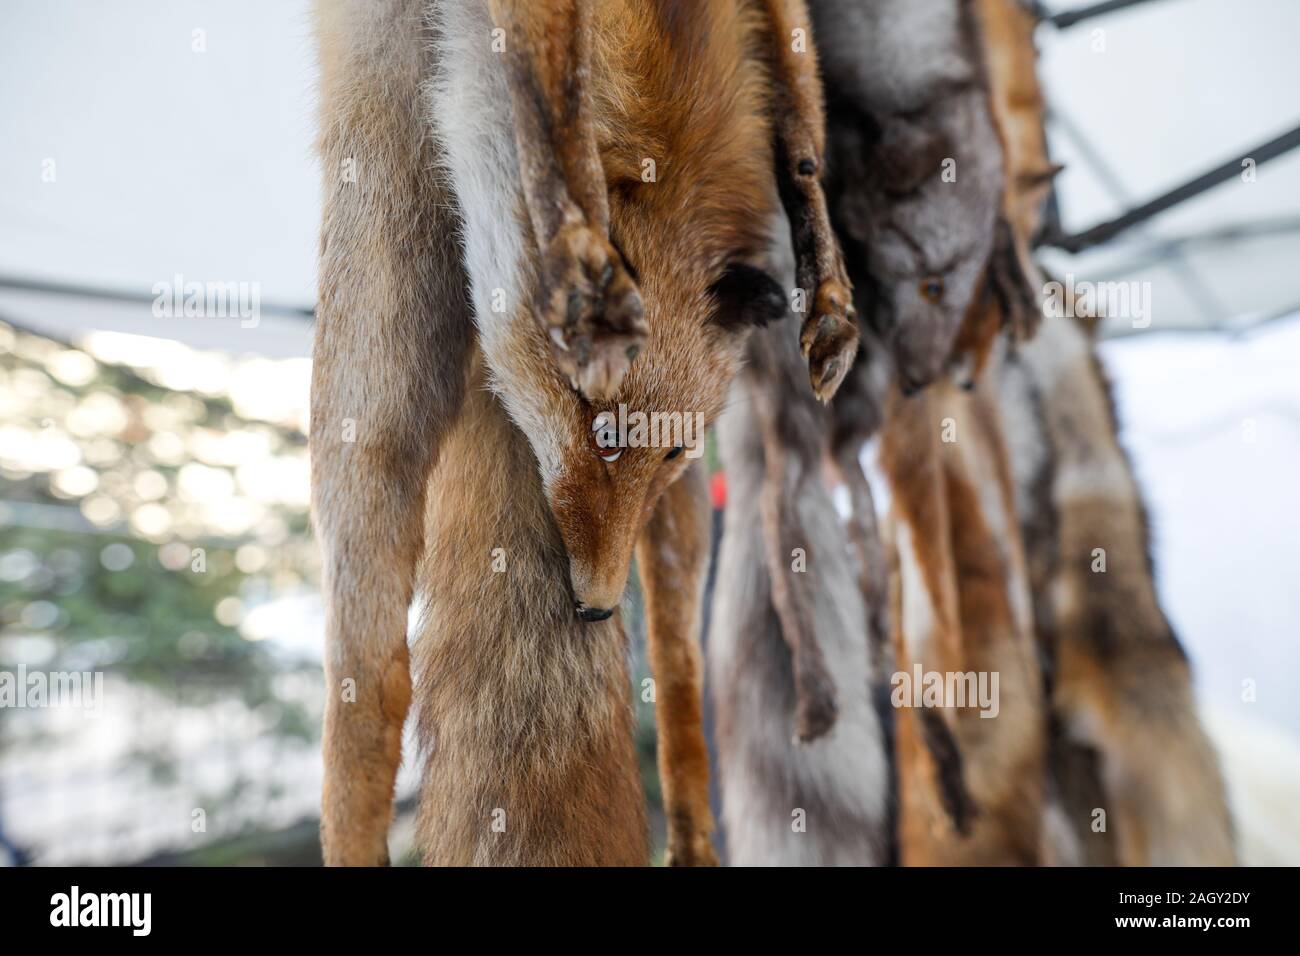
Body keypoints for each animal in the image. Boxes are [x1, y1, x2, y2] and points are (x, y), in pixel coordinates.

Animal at [311, 0, 858, 865]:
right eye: (596, 433)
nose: (597, 610)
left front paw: (831, 292)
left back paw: (693, 832)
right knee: (370, 679)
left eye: (671, 449)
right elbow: (553, 93)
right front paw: (571, 226)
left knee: (679, 665)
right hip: (373, 373)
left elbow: (804, 127)